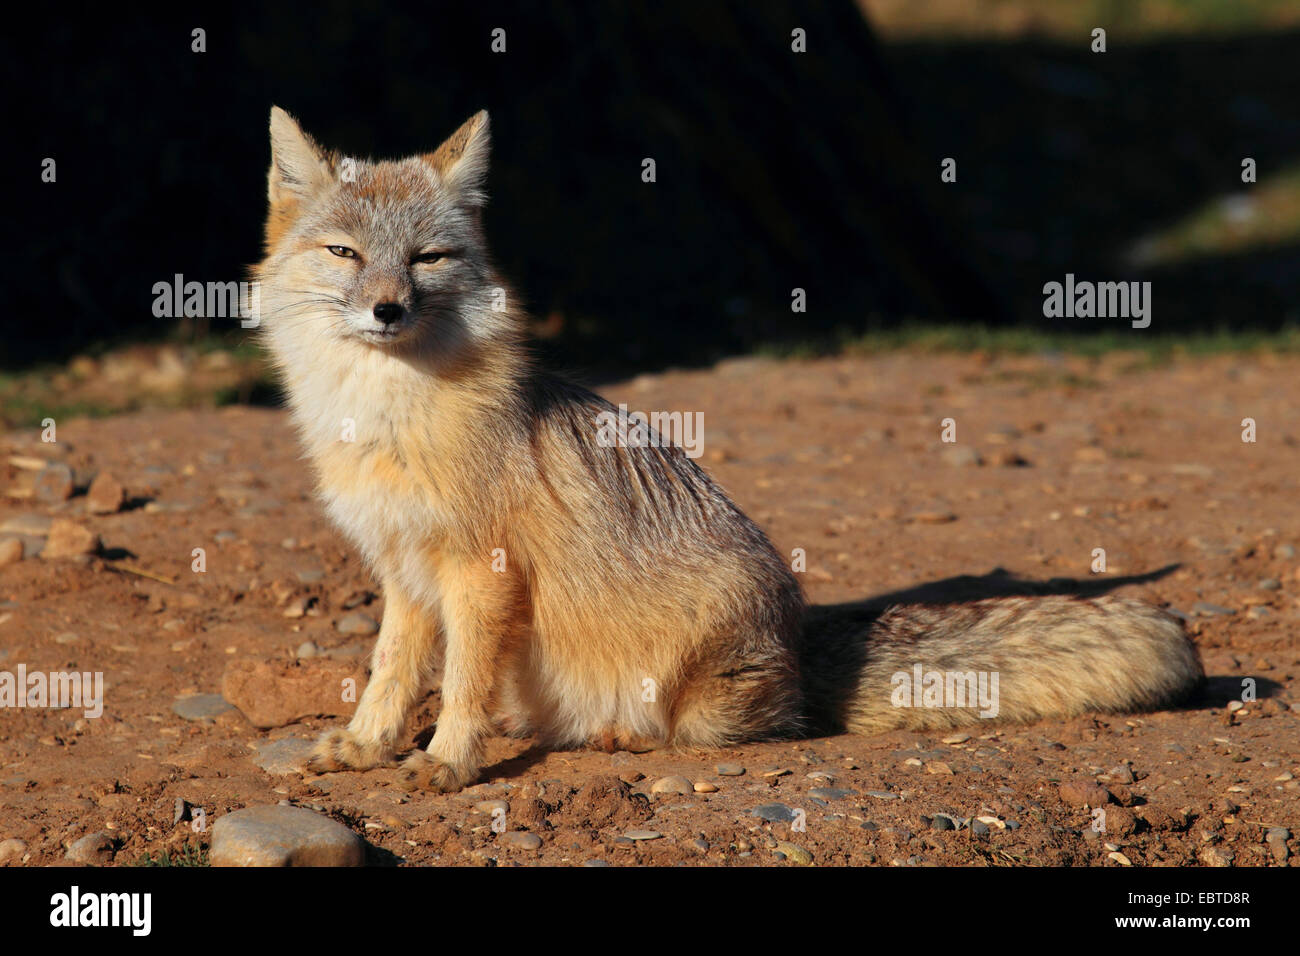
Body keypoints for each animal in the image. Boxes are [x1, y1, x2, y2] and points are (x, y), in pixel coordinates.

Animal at [254, 106, 1204, 792]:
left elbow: (461, 683)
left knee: (730, 731)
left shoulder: (478, 574)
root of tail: (804, 644)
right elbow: (389, 672)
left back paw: (621, 736)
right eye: (345, 253)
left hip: (695, 691)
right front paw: (366, 746)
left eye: (428, 257)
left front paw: (449, 761)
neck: (386, 419)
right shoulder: (405, 573)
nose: (387, 310)